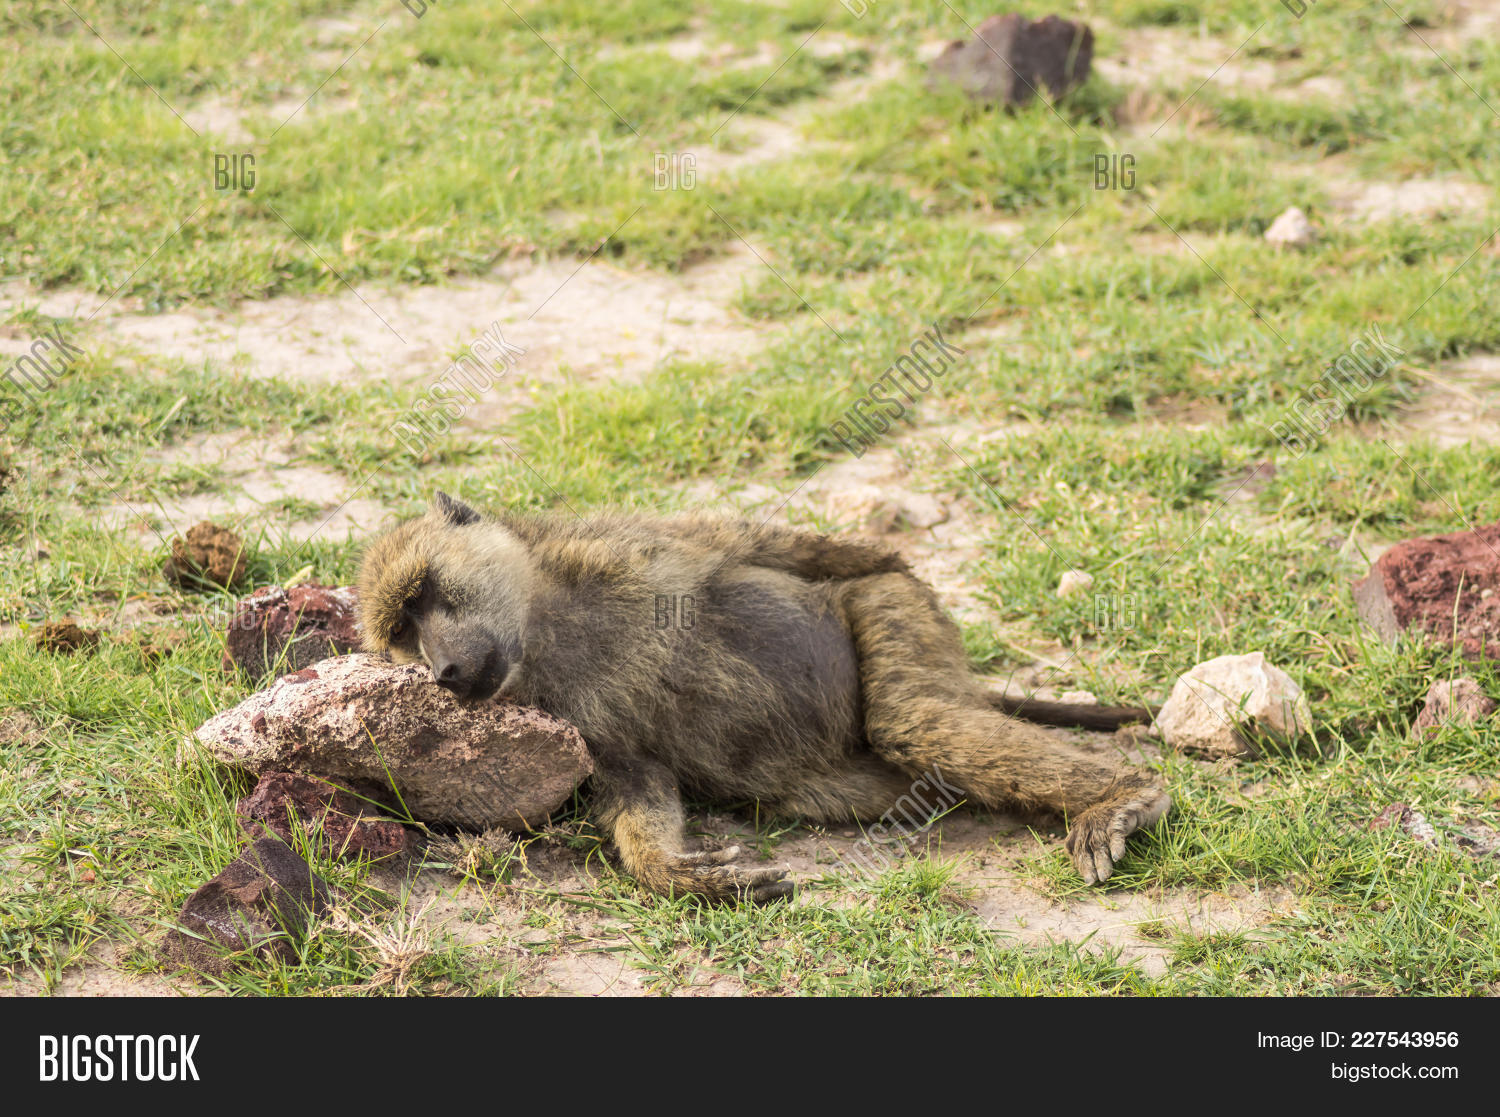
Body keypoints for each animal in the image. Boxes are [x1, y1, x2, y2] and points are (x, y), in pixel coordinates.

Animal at [356, 492, 1171, 902]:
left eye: (425, 594)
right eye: (402, 632)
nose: (442, 670)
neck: (543, 623)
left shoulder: (633, 544)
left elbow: (765, 545)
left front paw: (889, 554)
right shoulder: (571, 721)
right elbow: (637, 782)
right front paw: (679, 871)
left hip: (881, 612)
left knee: (913, 714)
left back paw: (1123, 796)